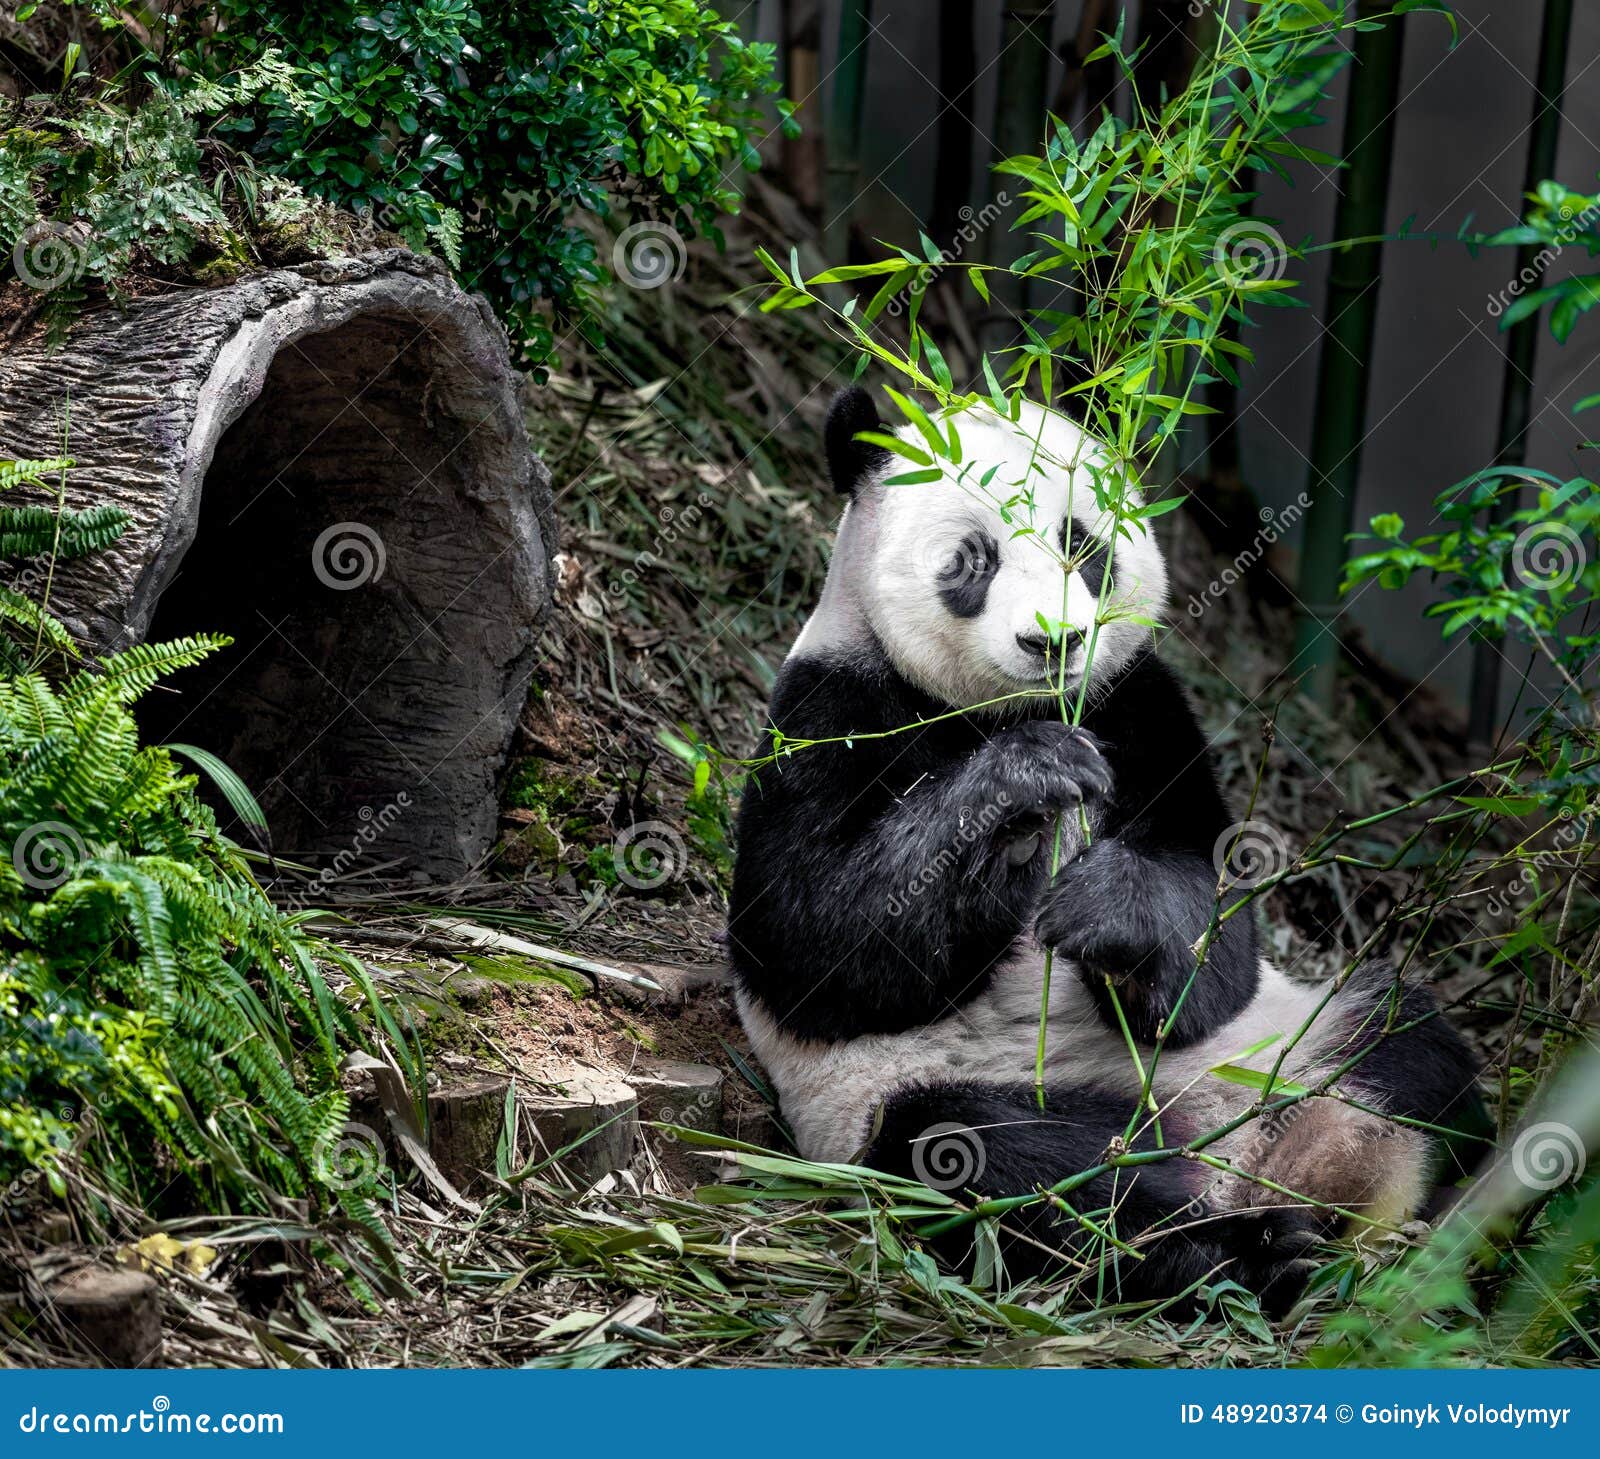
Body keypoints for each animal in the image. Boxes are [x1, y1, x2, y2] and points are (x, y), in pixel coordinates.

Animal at [726, 386, 1488, 1309]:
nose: (1051, 641)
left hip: (1290, 1040)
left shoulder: (1141, 701)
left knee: (1404, 1046)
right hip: (910, 1097)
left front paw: (1109, 909)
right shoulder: (829, 705)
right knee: (1002, 1160)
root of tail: (1237, 1153)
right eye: (971, 560)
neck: (1003, 707)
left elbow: (1214, 929)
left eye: (1080, 545)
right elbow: (816, 944)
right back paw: (1244, 1250)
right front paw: (1027, 779)